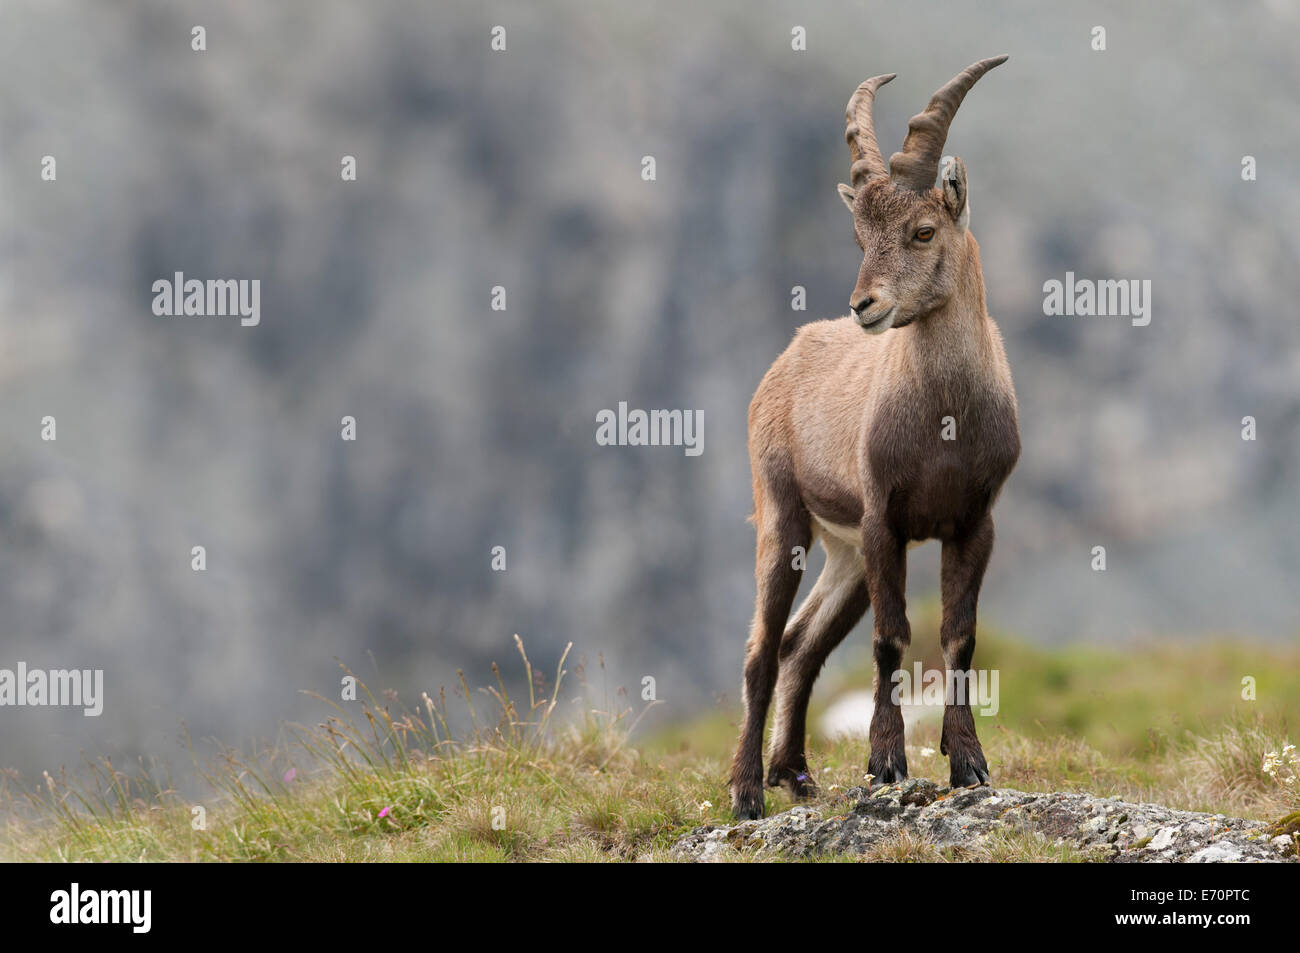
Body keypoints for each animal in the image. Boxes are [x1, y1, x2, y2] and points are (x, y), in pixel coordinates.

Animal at [729, 56, 1020, 819]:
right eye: (861, 236)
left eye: (922, 231)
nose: (865, 306)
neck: (944, 421)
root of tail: (786, 358)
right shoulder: (885, 518)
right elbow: (892, 640)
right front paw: (887, 761)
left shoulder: (972, 523)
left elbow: (959, 637)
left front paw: (968, 762)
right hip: (787, 518)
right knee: (762, 647)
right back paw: (746, 790)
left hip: (847, 554)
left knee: (801, 644)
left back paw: (794, 772)